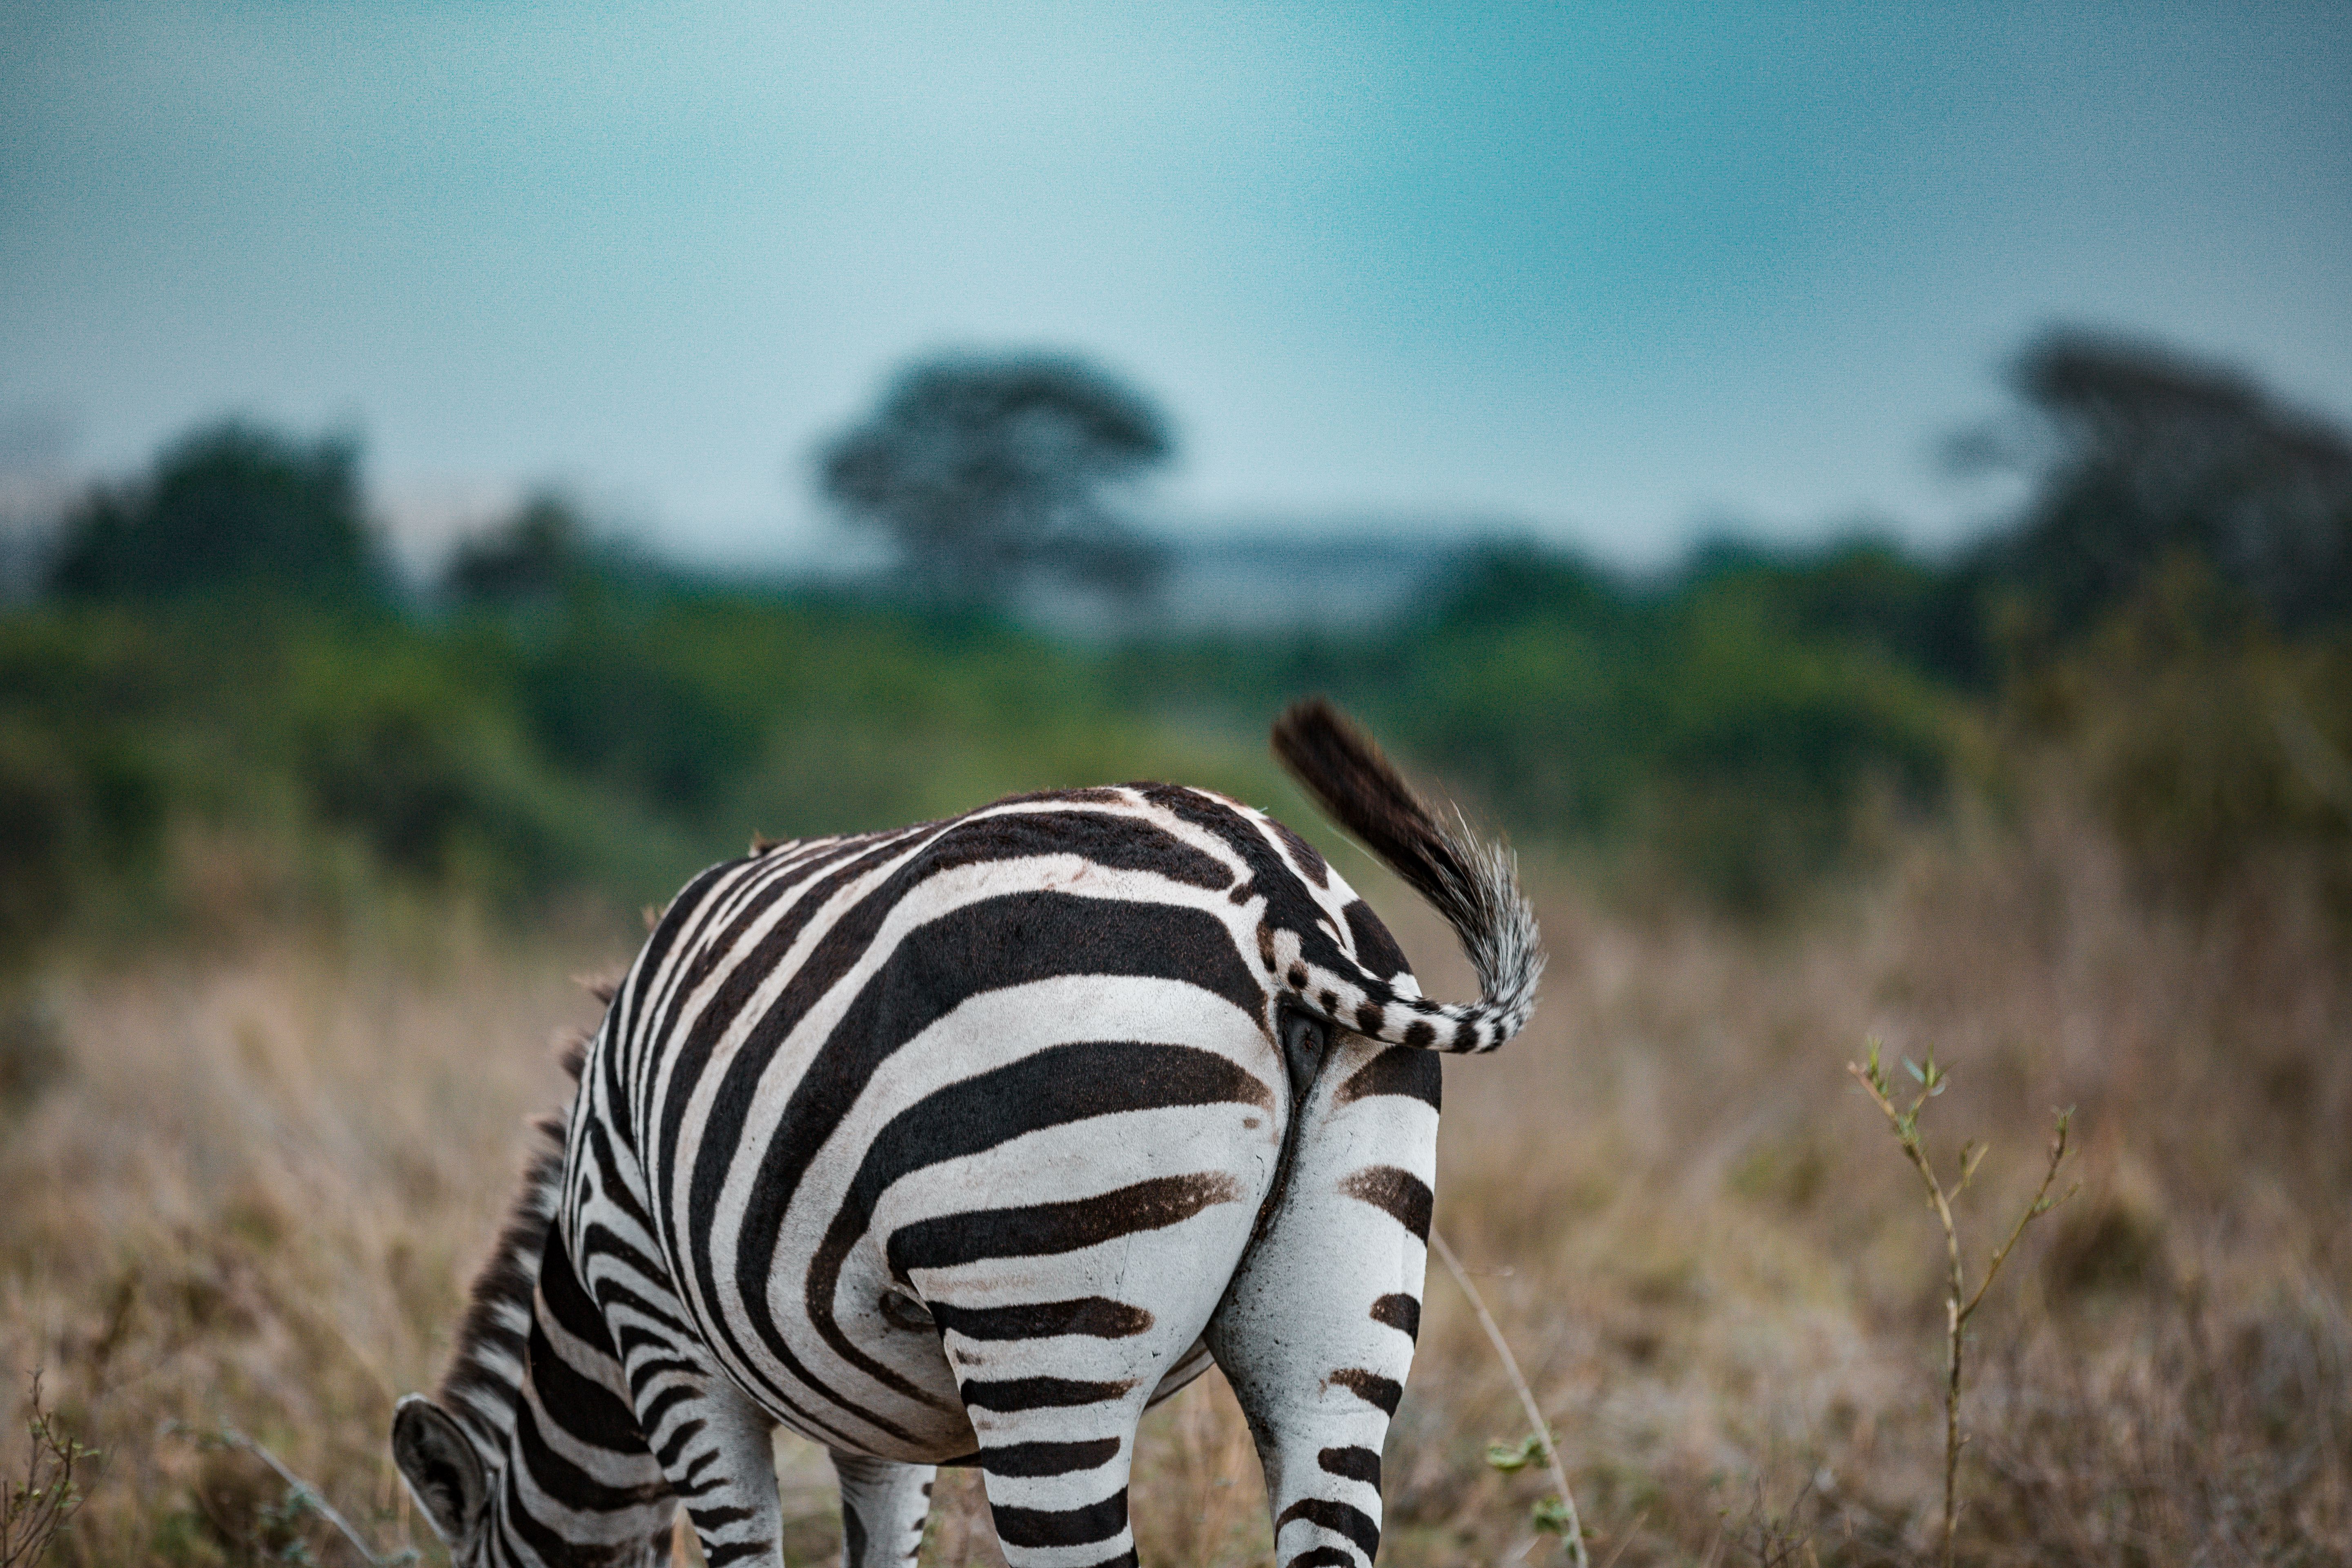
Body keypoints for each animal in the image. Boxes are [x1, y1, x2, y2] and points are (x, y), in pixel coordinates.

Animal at [391, 698, 1542, 1568]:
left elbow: (748, 1547)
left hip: (1043, 1316)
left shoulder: (662, 1330)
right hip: (1342, 1319)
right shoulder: (872, 1406)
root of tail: (1275, 904)